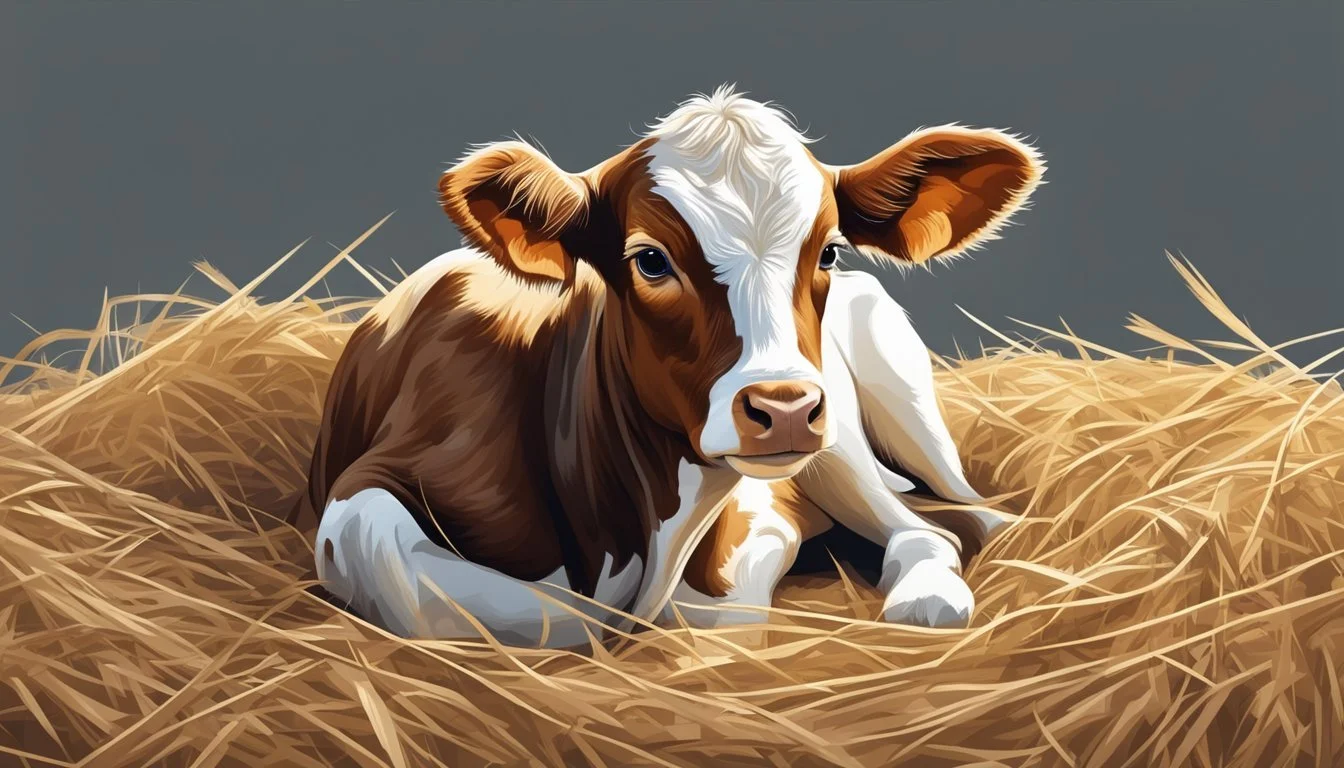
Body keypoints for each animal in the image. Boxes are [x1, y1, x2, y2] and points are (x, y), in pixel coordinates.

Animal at [299, 86, 1043, 647]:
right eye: (651, 260)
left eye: (829, 251)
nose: (785, 408)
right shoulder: (363, 496)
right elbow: (556, 619)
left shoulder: (756, 511)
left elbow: (705, 610)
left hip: (867, 435)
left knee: (939, 523)